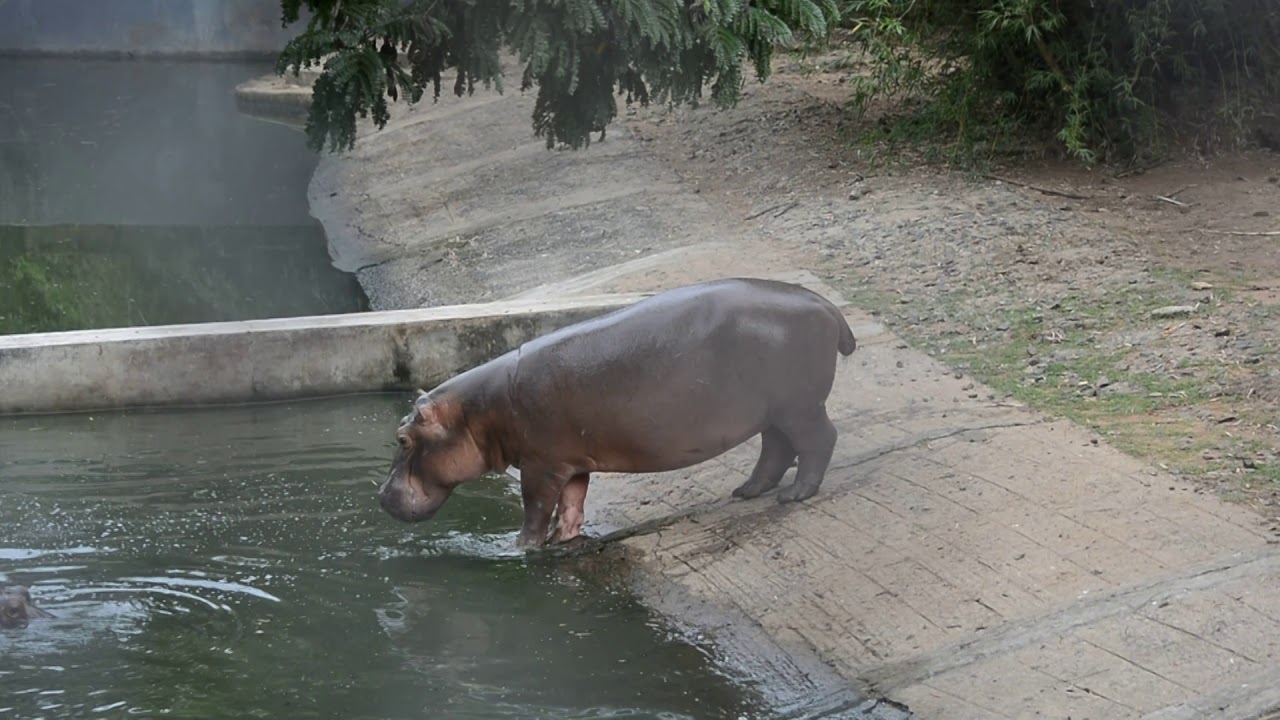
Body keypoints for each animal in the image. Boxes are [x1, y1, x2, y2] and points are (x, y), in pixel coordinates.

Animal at [378, 277, 856, 549]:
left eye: (402, 439)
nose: (380, 495)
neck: (477, 414)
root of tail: (826, 304)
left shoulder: (539, 465)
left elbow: (536, 508)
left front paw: (521, 547)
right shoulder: (570, 462)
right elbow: (572, 503)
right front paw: (565, 540)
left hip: (798, 406)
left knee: (819, 440)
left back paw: (795, 495)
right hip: (773, 411)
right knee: (776, 449)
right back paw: (748, 492)